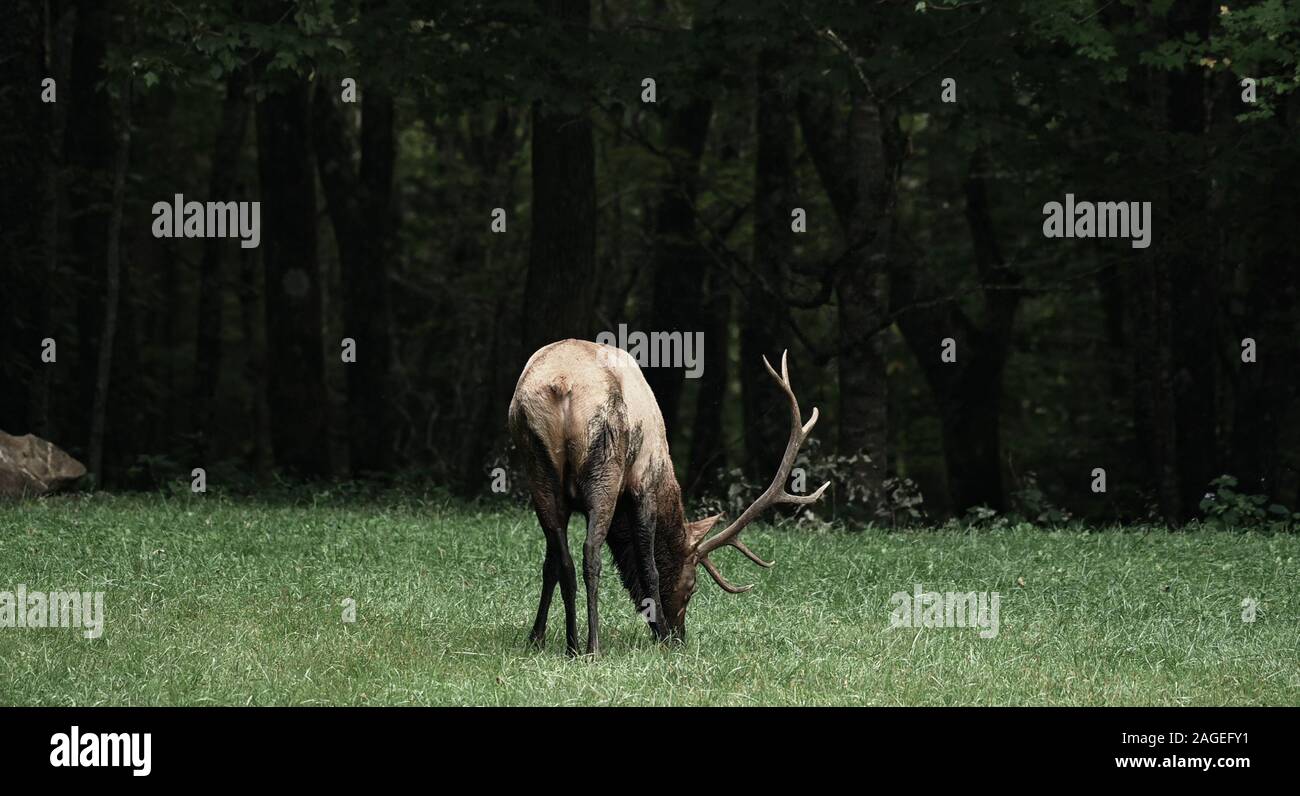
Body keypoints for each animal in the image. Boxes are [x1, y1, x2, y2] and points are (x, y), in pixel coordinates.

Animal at [508, 338, 828, 655]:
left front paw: (536, 637)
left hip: (537, 468)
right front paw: (660, 631)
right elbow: (649, 567)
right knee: (590, 553)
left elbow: (550, 564)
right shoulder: (644, 482)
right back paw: (593, 646)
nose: (679, 637)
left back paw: (572, 645)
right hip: (605, 466)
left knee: (565, 562)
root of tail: (562, 384)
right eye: (691, 587)